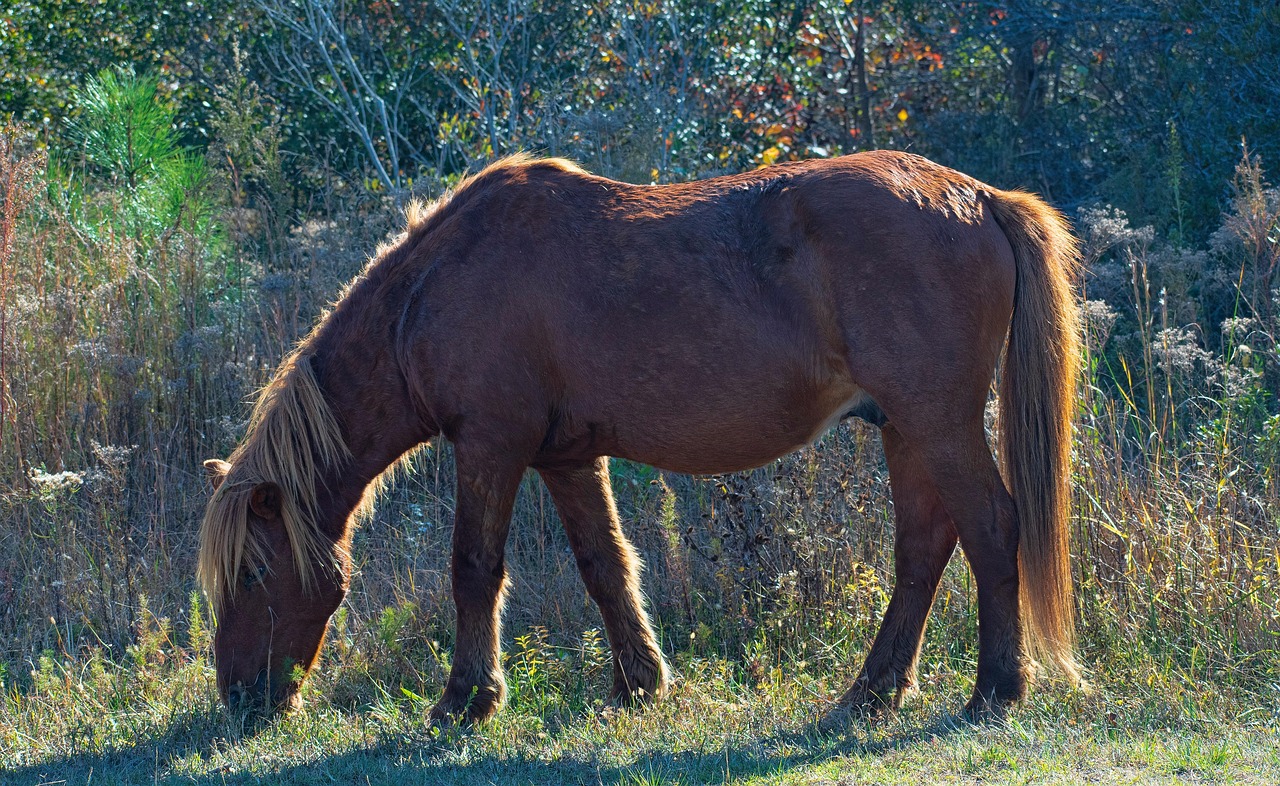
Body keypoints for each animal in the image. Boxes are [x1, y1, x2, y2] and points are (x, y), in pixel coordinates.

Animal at [198, 150, 1081, 724]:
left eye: (254, 573)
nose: (241, 700)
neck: (436, 285)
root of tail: (977, 196)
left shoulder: (489, 447)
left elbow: (475, 569)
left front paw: (466, 700)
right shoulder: (564, 458)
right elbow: (606, 568)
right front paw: (640, 683)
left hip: (938, 423)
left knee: (991, 527)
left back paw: (997, 689)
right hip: (905, 427)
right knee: (924, 547)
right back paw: (872, 690)